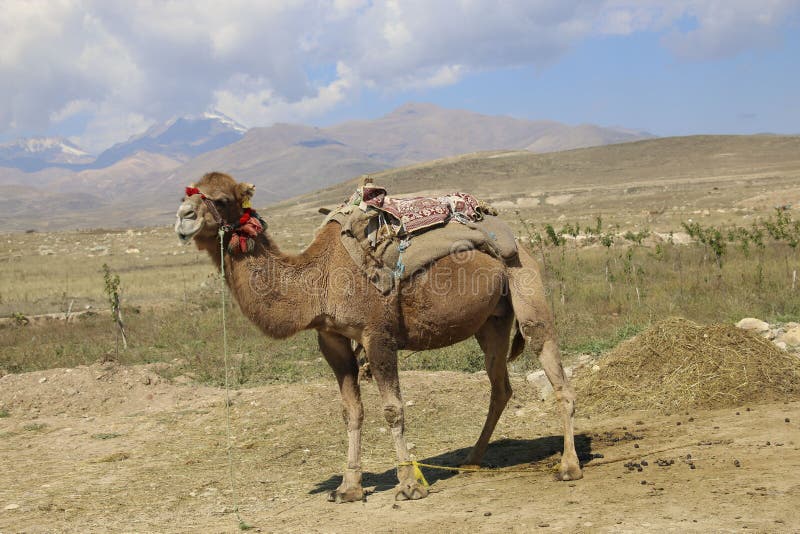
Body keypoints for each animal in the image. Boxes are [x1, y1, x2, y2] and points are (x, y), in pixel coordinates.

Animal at [174, 172, 582, 503]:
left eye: (221, 199)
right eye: (187, 194)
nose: (183, 217)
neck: (316, 281)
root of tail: (512, 235)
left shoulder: (377, 334)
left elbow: (392, 408)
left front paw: (410, 484)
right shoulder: (332, 339)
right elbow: (351, 411)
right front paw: (349, 488)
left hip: (523, 280)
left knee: (551, 364)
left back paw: (568, 466)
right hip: (491, 321)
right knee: (500, 385)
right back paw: (471, 460)